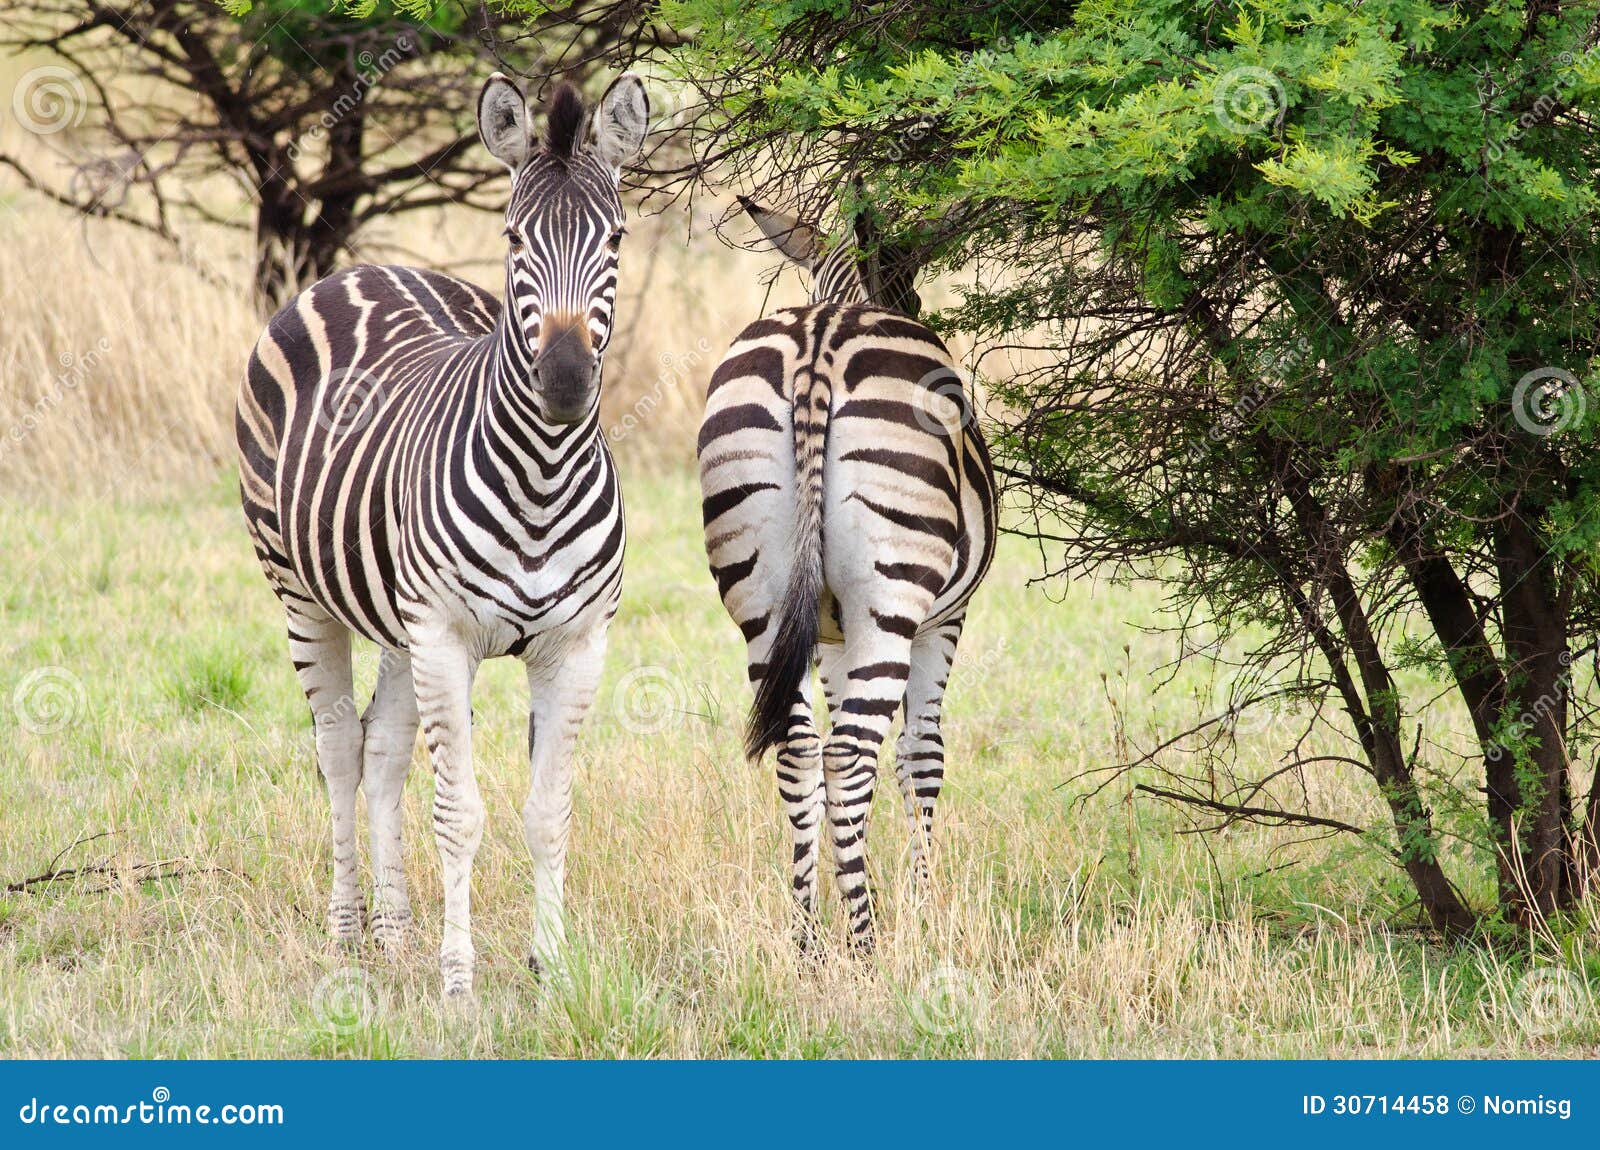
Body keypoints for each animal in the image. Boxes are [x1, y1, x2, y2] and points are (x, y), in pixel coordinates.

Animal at [235, 73, 648, 998]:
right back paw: (348, 930)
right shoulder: (446, 636)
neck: (541, 479)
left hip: (397, 623)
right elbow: (459, 812)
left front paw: (551, 971)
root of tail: (360, 268)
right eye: (514, 237)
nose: (565, 379)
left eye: (614, 237)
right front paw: (458, 983)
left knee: (383, 750)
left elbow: (548, 813)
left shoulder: (577, 646)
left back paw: (392, 932)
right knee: (338, 750)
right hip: (304, 594)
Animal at [697, 197, 997, 951]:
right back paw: (865, 944)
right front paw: (924, 911)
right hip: (889, 601)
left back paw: (807, 941)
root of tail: (818, 346)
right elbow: (922, 757)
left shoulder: (826, 634)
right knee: (849, 756)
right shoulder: (943, 621)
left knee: (802, 752)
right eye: (909, 290)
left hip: (762, 601)